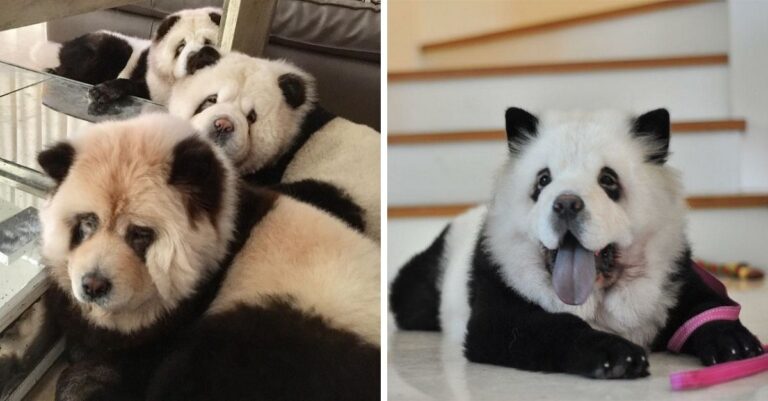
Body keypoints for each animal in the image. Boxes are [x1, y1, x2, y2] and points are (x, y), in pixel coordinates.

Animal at [32, 7, 222, 113]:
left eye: (209, 43)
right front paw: (103, 91)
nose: (196, 58)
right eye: (180, 46)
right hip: (112, 48)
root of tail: (66, 44)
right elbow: (127, 82)